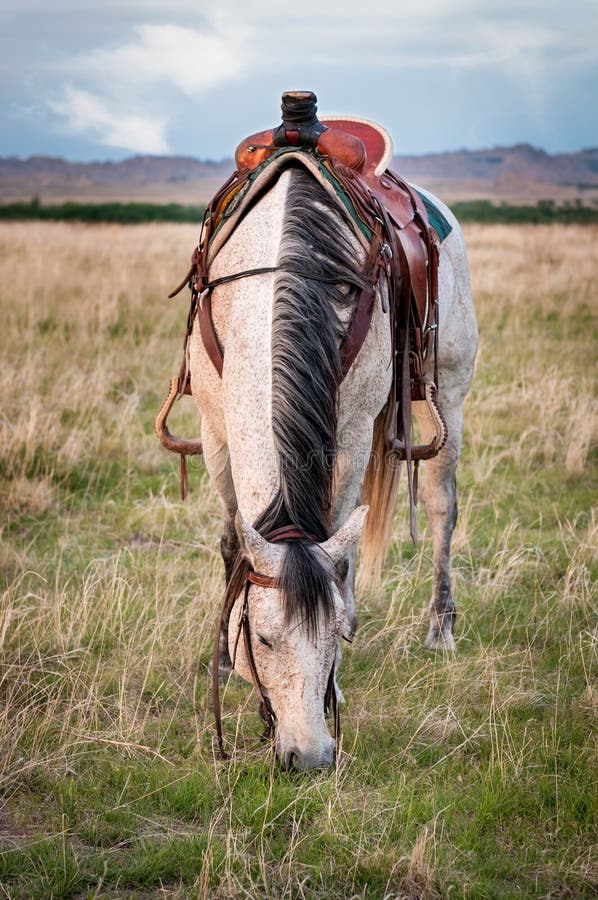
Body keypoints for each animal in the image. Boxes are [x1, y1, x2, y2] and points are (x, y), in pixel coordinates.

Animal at [163, 109, 477, 770]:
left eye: (325, 635)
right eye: (259, 636)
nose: (309, 756)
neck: (282, 270)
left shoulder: (352, 432)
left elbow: (340, 539)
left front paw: (338, 676)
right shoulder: (216, 429)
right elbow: (231, 539)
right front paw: (223, 661)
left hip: (450, 393)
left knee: (441, 507)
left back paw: (440, 627)